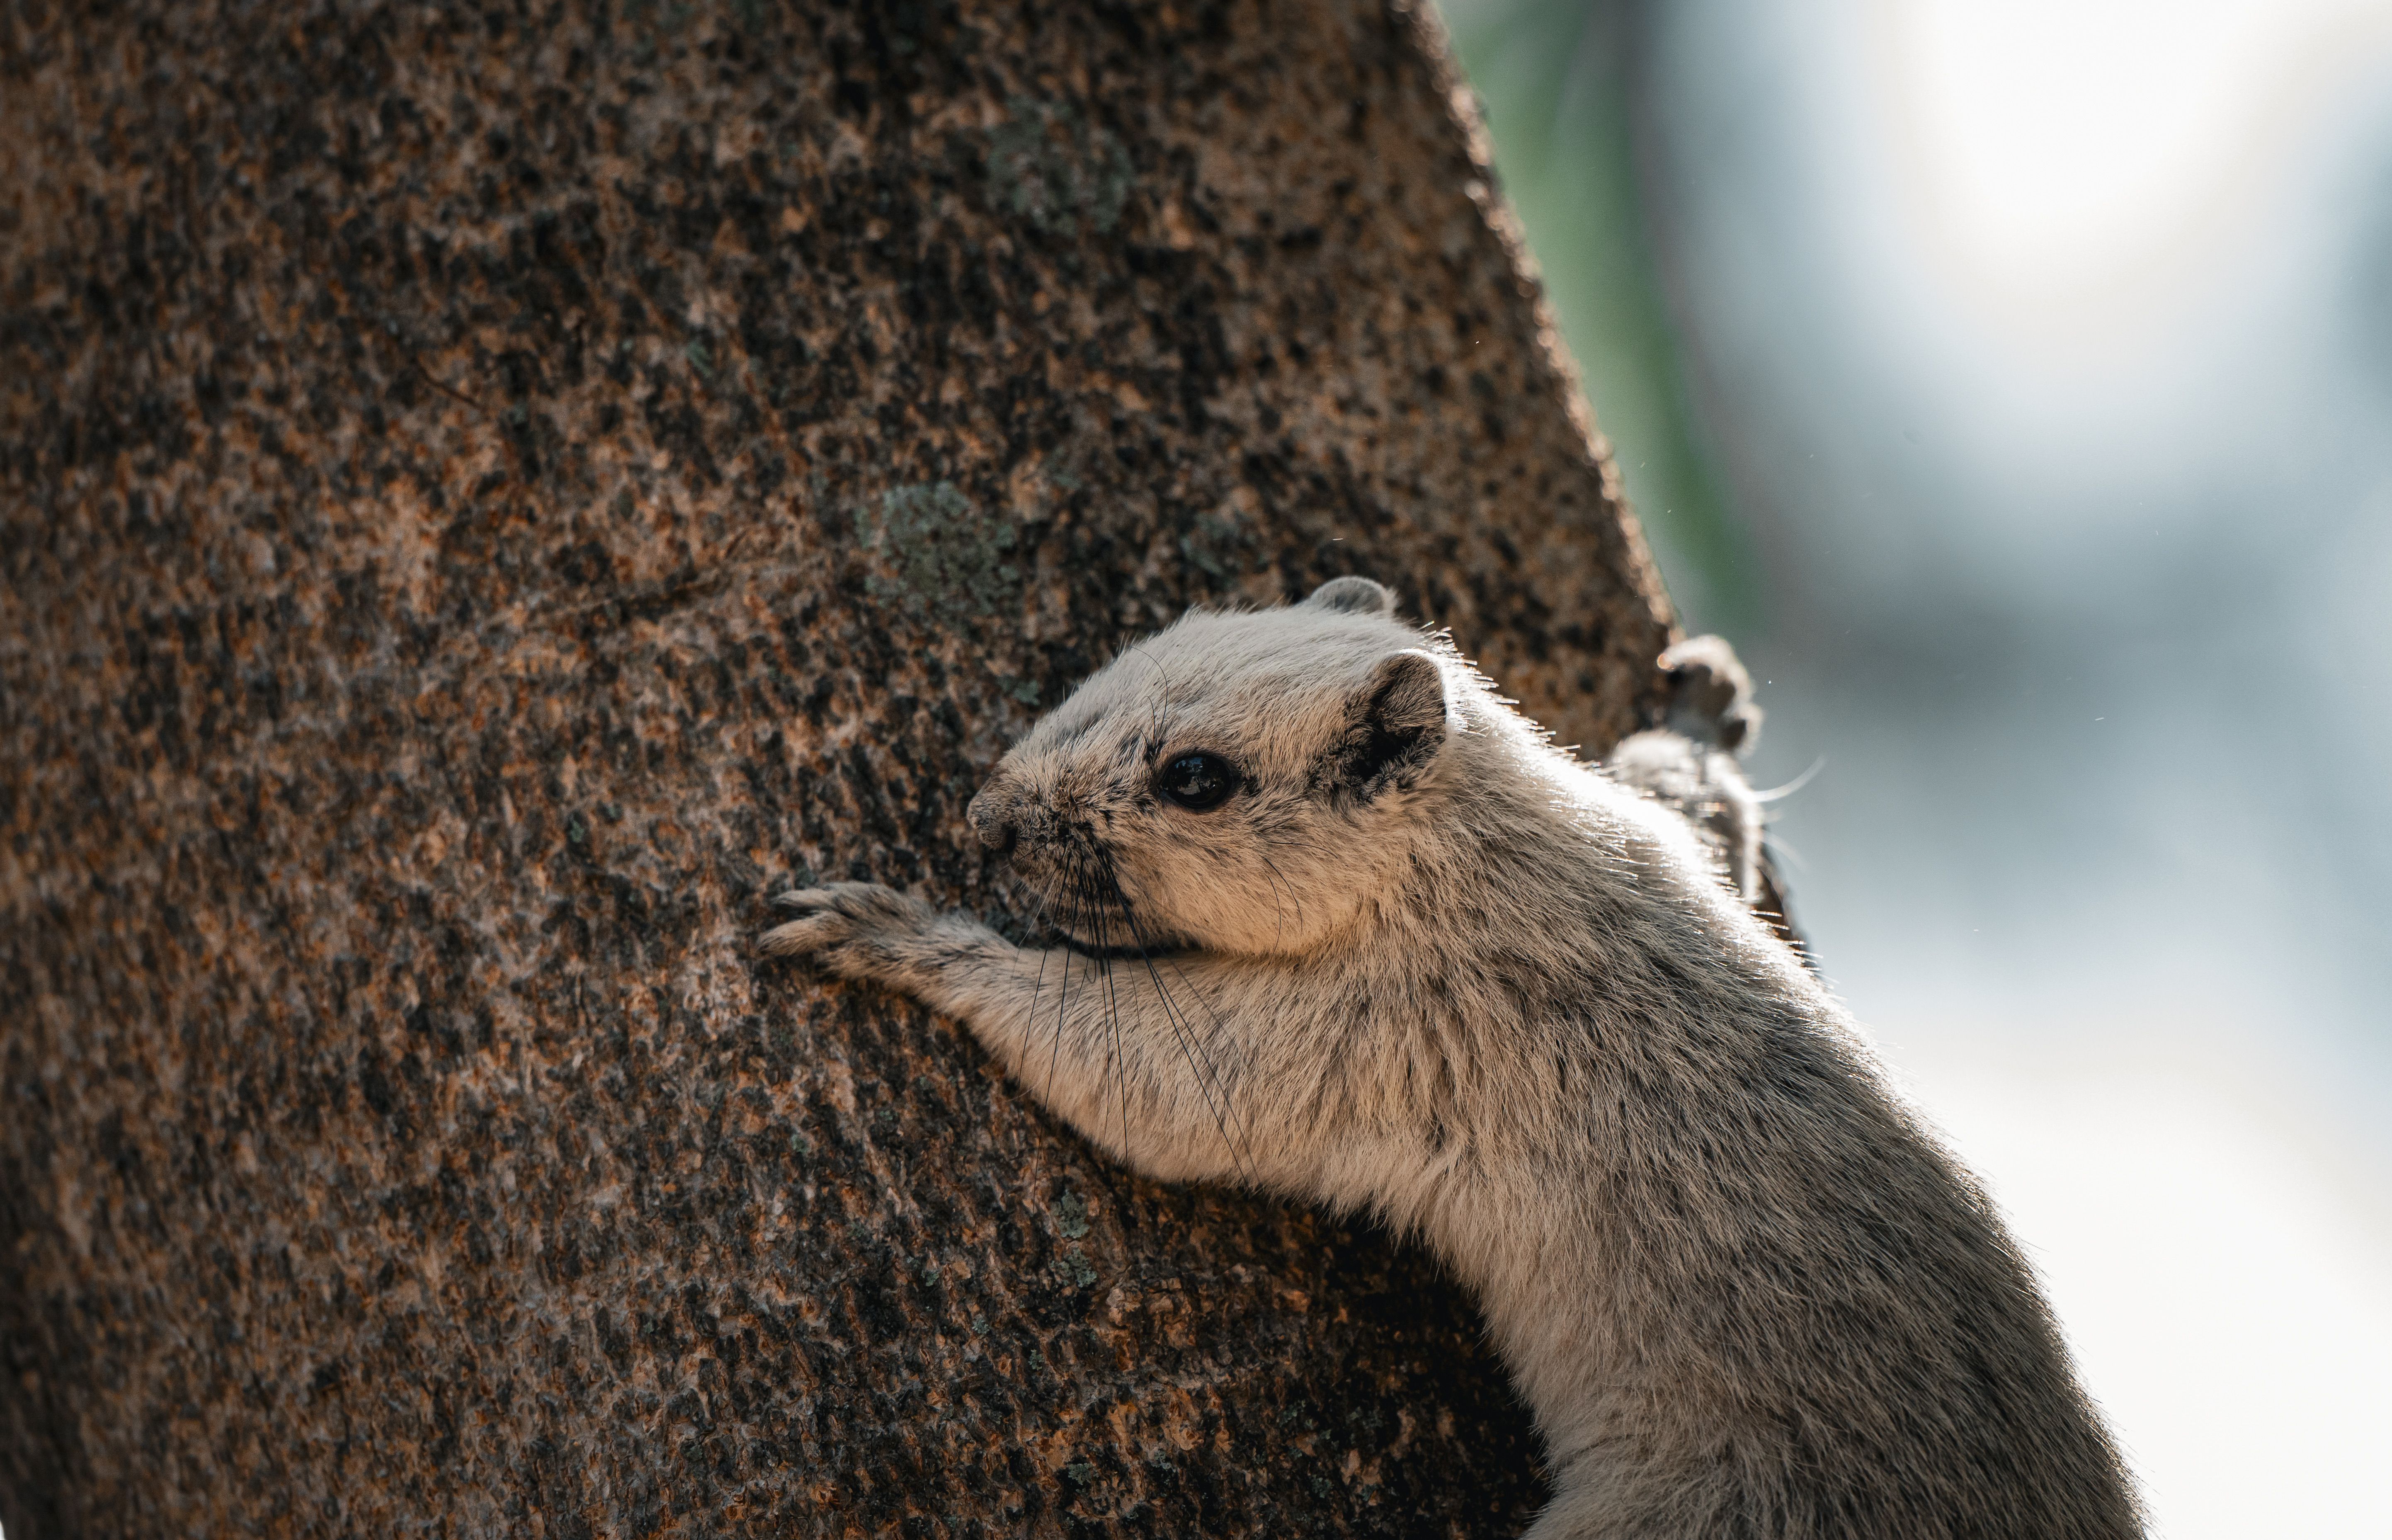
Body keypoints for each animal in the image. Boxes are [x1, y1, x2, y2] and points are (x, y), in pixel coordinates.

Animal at [764, 576, 2141, 1538]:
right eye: (1121, 660)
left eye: (1196, 777)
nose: (982, 822)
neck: (1480, 858)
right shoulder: (1654, 846)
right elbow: (1699, 806)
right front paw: (1699, 707)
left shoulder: (1380, 1034)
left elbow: (1144, 1077)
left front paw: (901, 935)